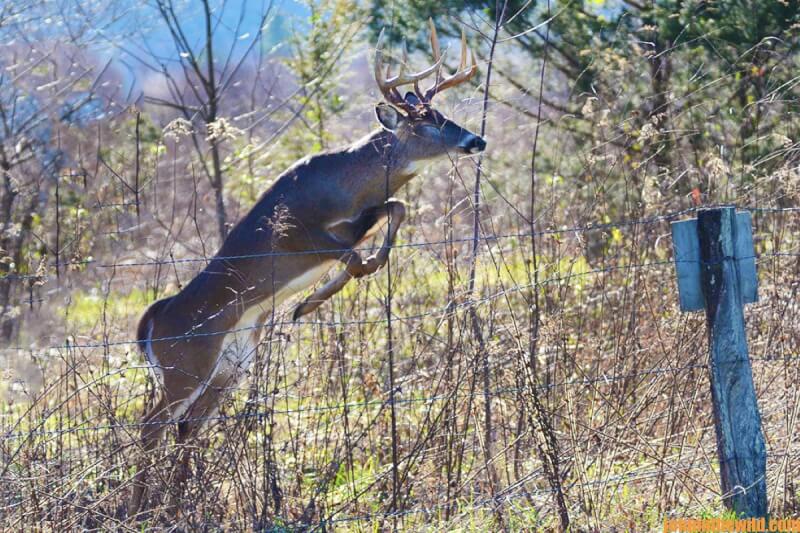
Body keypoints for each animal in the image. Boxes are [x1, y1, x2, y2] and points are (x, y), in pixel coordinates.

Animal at [129, 21, 486, 514]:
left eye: (444, 113)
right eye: (426, 123)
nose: (477, 141)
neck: (344, 183)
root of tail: (152, 323)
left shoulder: (358, 219)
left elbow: (396, 209)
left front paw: (313, 300)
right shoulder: (295, 237)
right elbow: (354, 257)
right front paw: (310, 303)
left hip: (232, 364)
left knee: (187, 426)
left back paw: (178, 504)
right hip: (186, 364)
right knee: (151, 427)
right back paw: (138, 509)